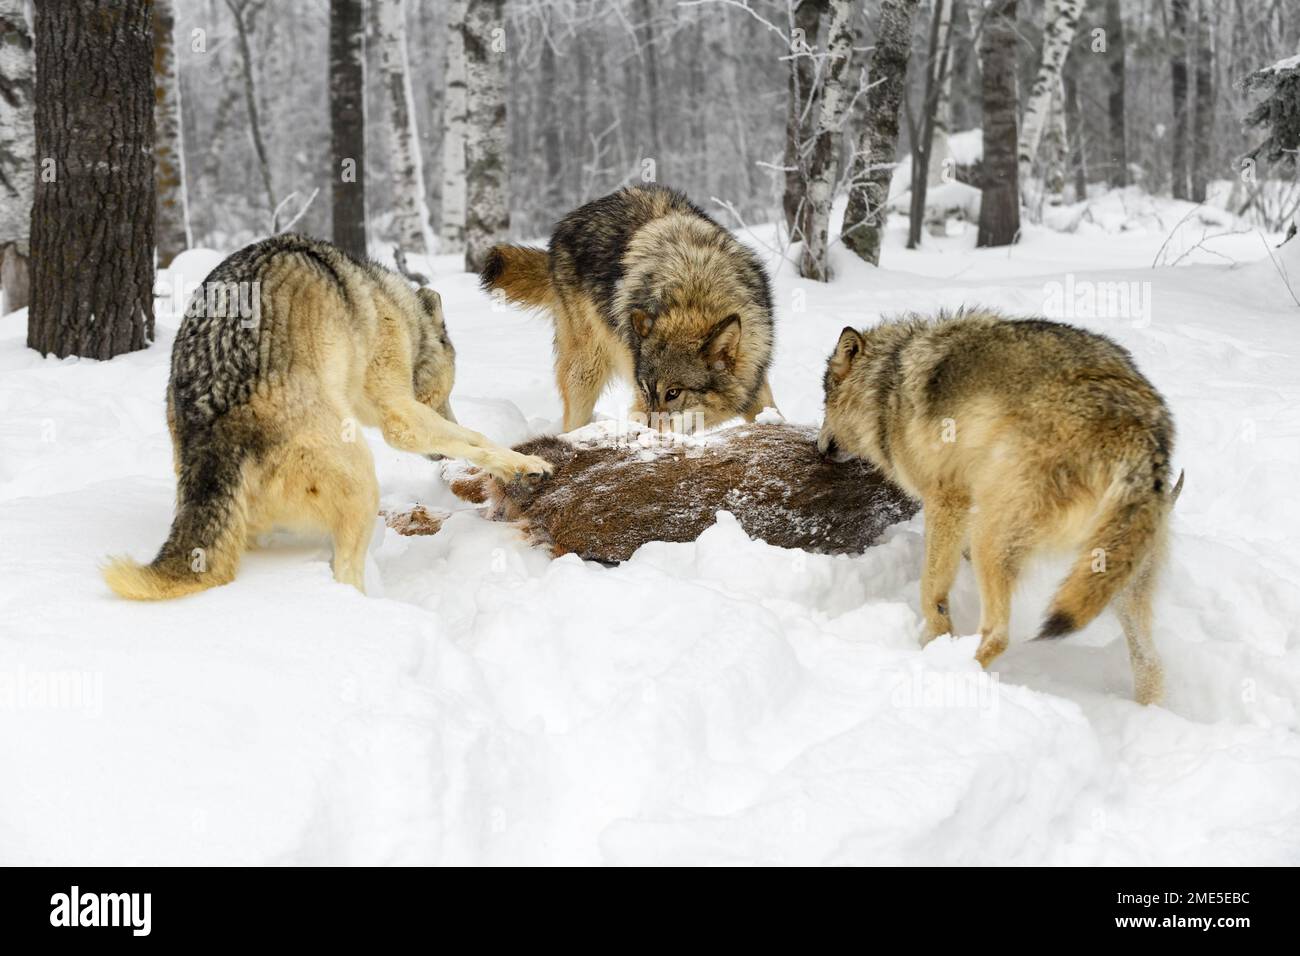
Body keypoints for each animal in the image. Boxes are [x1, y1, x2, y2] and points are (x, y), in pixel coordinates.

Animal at [103, 234, 550, 600]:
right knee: (345, 572)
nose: (437, 459)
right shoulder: (401, 417)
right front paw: (525, 464)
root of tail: (214, 426)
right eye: (445, 395)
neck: (394, 307)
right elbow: (475, 437)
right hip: (361, 479)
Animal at [480, 184, 777, 432]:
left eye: (673, 393)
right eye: (647, 391)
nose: (647, 433)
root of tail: (565, 223)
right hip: (584, 374)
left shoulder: (757, 387)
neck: (694, 292)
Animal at [818, 309, 1181, 704]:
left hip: (992, 537)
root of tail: (1138, 430)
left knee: (998, 634)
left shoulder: (946, 497)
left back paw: (951, 670)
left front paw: (933, 637)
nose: (819, 447)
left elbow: (932, 589)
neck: (885, 383)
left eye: (824, 401)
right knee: (1150, 663)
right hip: (1113, 573)